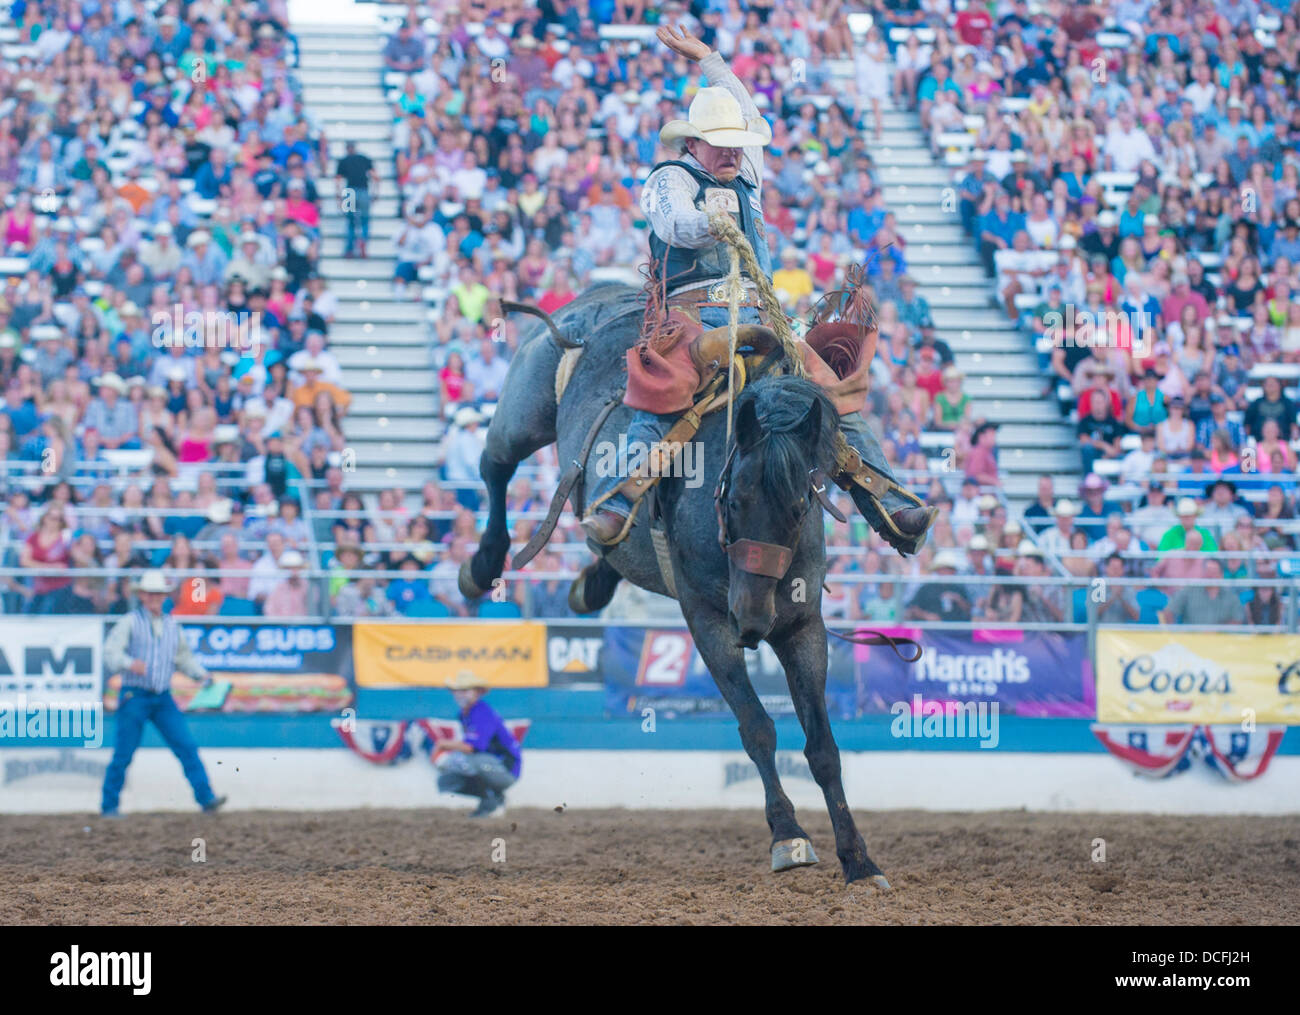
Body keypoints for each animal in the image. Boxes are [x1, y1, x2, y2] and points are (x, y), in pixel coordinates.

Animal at [458, 282, 891, 888]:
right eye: (733, 499)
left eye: (802, 504)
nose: (752, 620)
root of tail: (601, 294)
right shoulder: (708, 622)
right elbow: (757, 727)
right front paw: (788, 837)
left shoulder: (805, 626)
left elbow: (823, 746)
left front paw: (859, 860)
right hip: (523, 411)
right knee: (494, 465)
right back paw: (481, 566)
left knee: (595, 533)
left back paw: (594, 572)